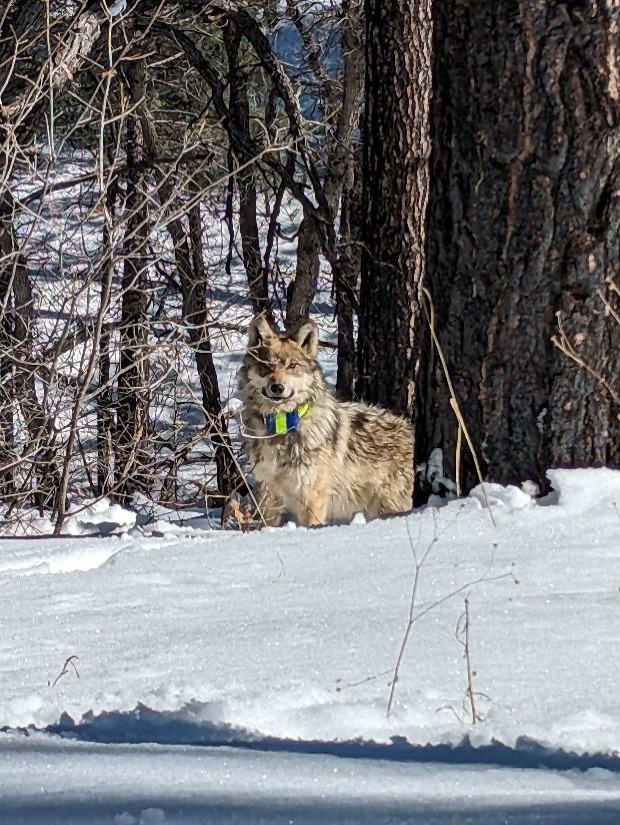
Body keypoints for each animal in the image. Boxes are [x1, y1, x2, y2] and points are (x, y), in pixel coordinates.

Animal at [237, 316, 414, 527]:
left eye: (292, 366)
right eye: (266, 366)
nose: (277, 387)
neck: (281, 428)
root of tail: (408, 428)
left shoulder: (312, 498)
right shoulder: (268, 494)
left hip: (388, 507)